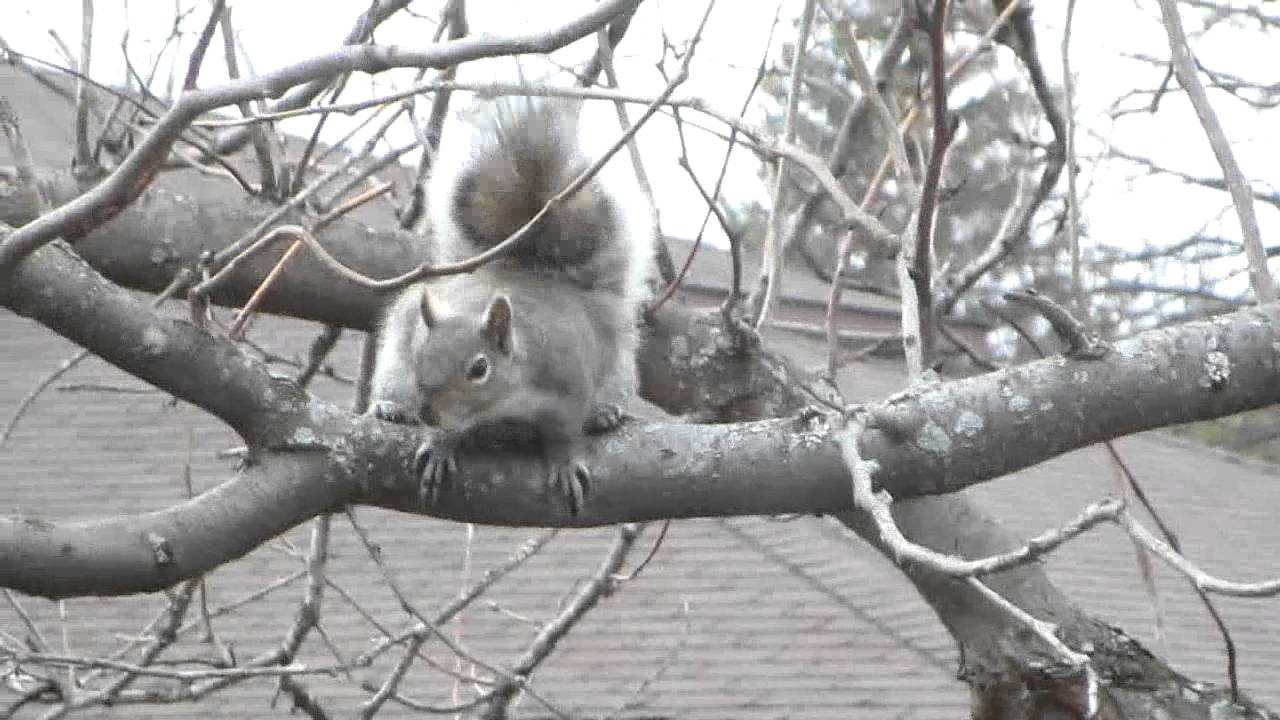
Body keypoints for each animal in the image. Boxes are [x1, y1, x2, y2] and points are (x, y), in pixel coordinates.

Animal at [368, 98, 655, 515]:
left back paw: (605, 413)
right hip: (394, 360)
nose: (428, 413)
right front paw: (438, 445)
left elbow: (564, 432)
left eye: (479, 368)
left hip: (617, 362)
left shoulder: (568, 382)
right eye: (422, 354)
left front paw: (565, 463)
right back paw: (390, 406)